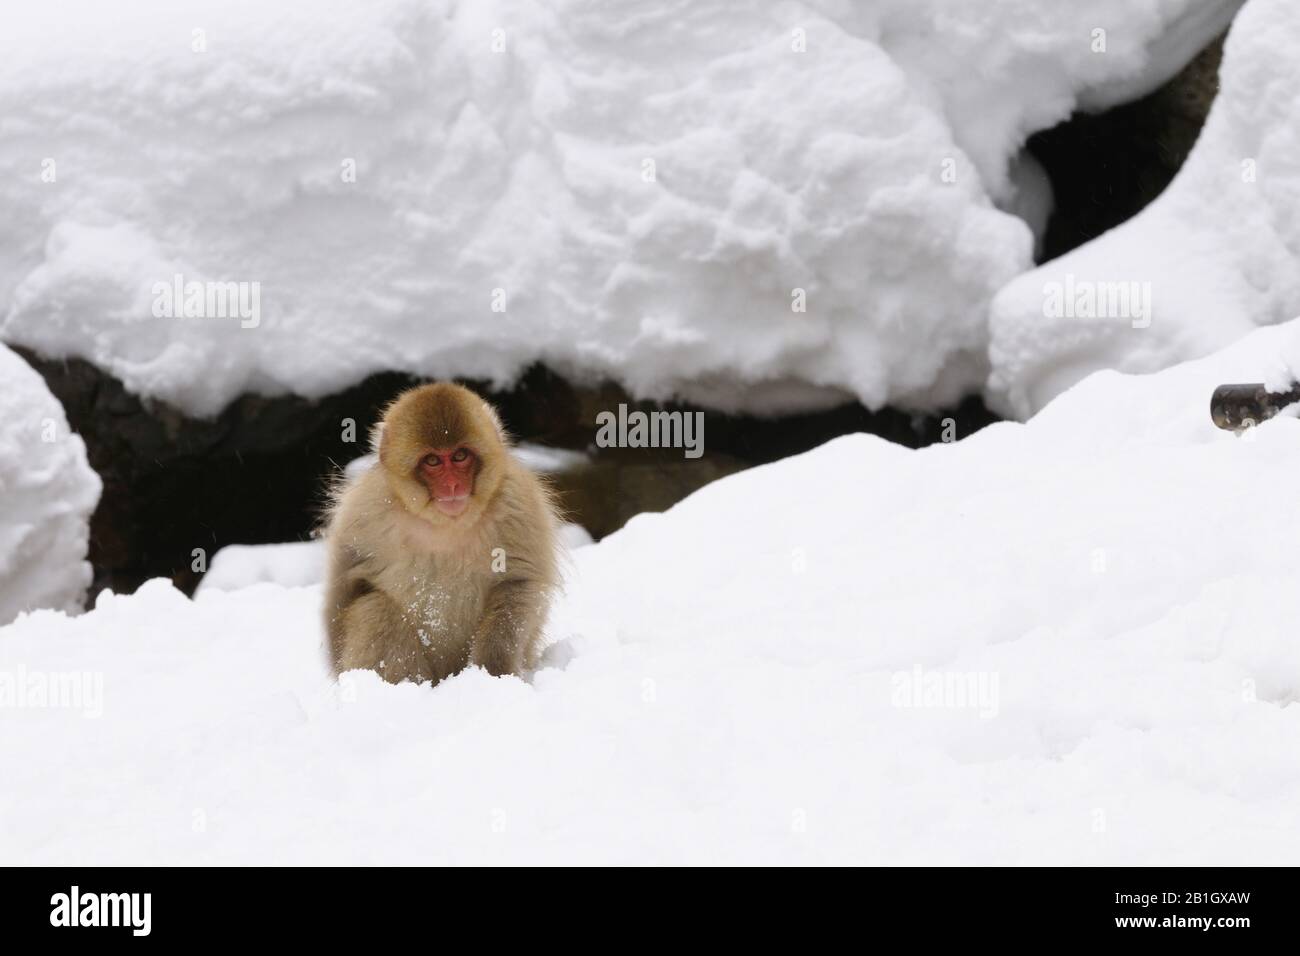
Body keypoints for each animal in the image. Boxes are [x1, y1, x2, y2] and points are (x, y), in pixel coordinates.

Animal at [323, 385, 559, 686]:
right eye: (433, 461)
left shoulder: (519, 502)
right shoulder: (362, 512)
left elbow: (518, 583)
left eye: (460, 456)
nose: (453, 485)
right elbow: (345, 597)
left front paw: (494, 672)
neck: (446, 525)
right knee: (375, 608)